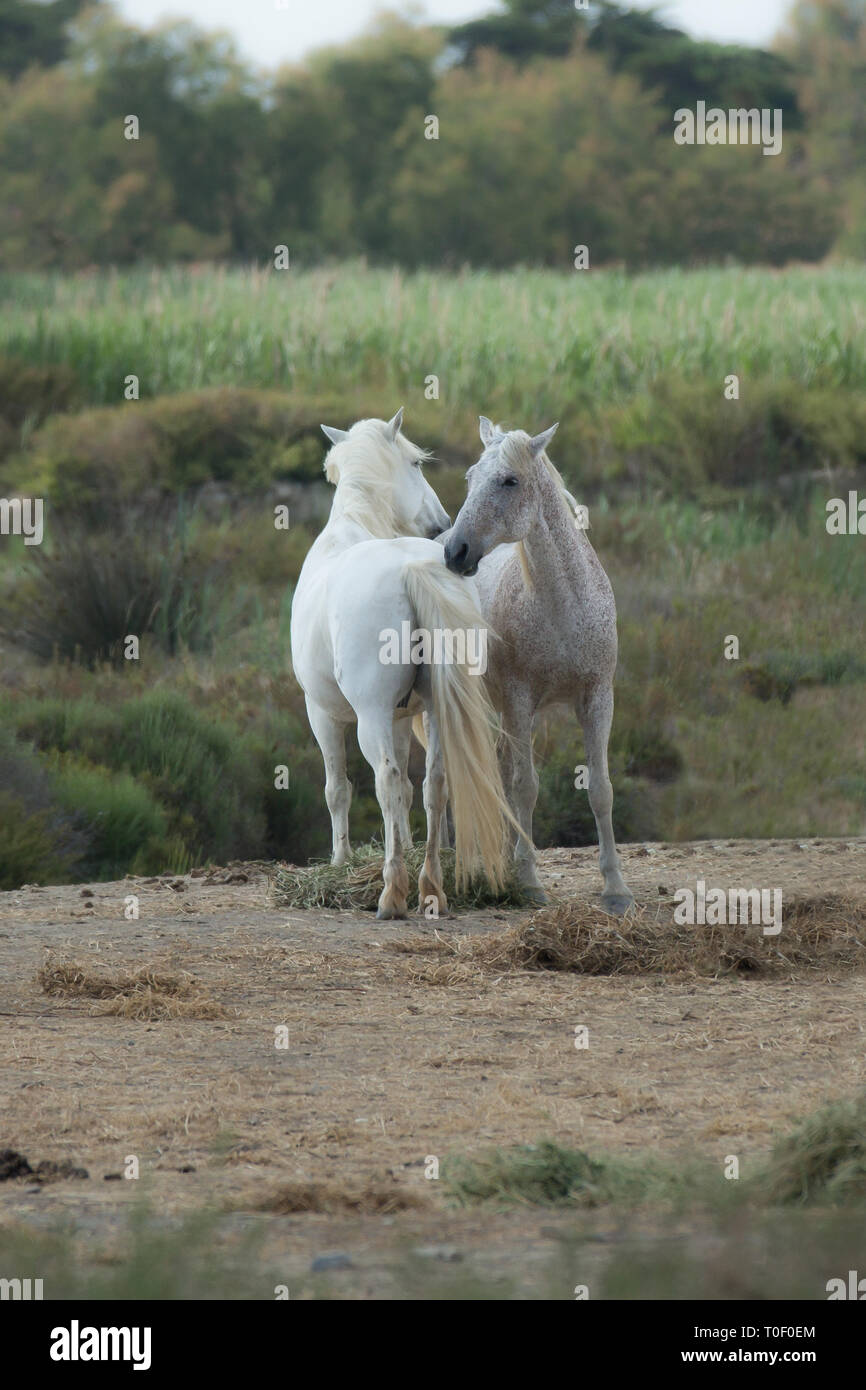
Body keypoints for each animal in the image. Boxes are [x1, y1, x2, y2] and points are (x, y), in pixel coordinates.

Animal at [290, 408, 515, 920]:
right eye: (415, 463)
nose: (443, 524)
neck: (353, 525)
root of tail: (411, 568)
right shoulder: (402, 716)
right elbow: (413, 793)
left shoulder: (323, 714)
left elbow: (338, 788)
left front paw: (341, 861)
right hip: (433, 709)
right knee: (434, 785)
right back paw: (430, 886)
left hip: (368, 716)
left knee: (387, 780)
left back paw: (392, 891)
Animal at [441, 417, 634, 916]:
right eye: (470, 477)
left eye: (509, 481)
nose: (456, 552)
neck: (562, 606)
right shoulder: (519, 699)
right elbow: (526, 786)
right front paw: (529, 883)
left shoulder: (597, 697)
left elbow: (601, 790)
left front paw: (615, 888)